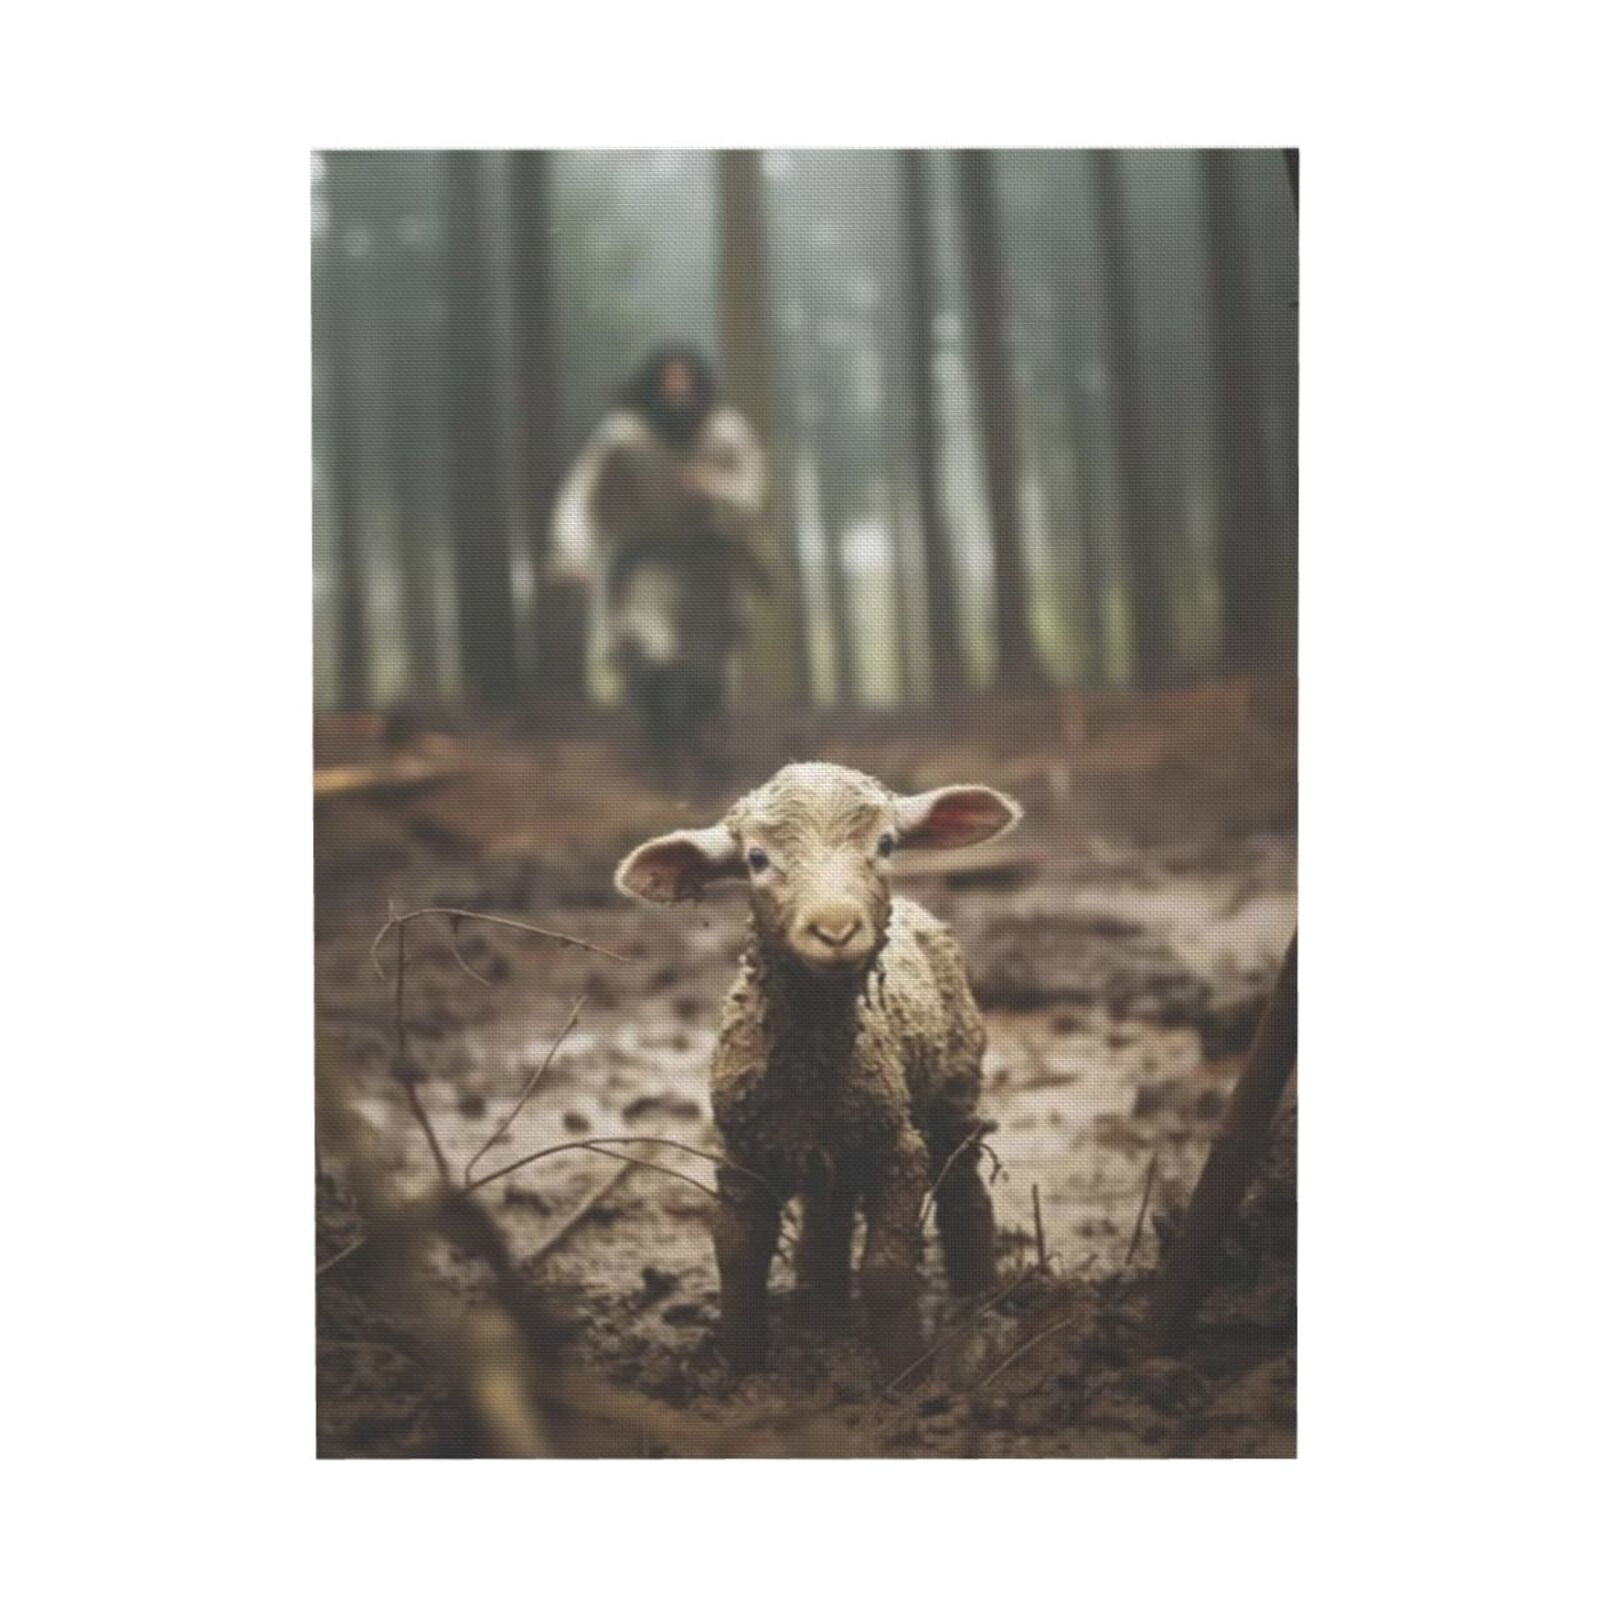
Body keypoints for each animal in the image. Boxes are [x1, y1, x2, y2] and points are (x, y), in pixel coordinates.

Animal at [615, 761, 1021, 1379]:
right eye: (756, 859)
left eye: (886, 844)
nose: (835, 931)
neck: (810, 1071)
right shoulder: (742, 1153)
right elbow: (737, 1257)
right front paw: (740, 1366)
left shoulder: (897, 1149)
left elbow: (886, 1269)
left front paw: (906, 1375)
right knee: (826, 1215)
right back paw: (819, 1303)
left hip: (955, 1086)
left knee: (962, 1188)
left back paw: (980, 1296)